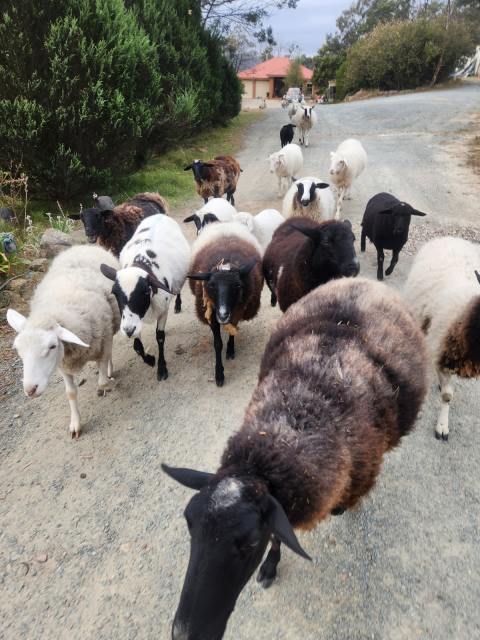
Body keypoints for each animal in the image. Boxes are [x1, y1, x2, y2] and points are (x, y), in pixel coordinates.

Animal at [6, 245, 121, 439]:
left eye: (52, 346)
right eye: (17, 349)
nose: (30, 390)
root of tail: (83, 246)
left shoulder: (103, 341)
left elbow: (102, 380)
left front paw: (108, 384)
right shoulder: (63, 363)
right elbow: (71, 393)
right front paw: (75, 424)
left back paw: (110, 370)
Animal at [100, 215, 190, 381]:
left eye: (144, 292)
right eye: (115, 293)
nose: (127, 330)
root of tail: (159, 215)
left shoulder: (162, 310)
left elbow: (160, 337)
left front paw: (161, 368)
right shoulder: (134, 320)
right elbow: (136, 346)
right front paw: (150, 360)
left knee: (178, 290)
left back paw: (178, 305)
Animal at [162, 277, 428, 640]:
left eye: (250, 542)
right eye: (189, 523)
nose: (185, 633)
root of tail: (363, 280)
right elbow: (279, 534)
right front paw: (271, 566)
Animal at [188, 222, 263, 387]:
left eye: (237, 286)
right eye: (211, 286)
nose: (223, 315)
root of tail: (224, 223)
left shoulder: (237, 311)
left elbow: (232, 331)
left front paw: (230, 349)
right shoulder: (212, 316)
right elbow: (217, 344)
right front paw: (219, 374)